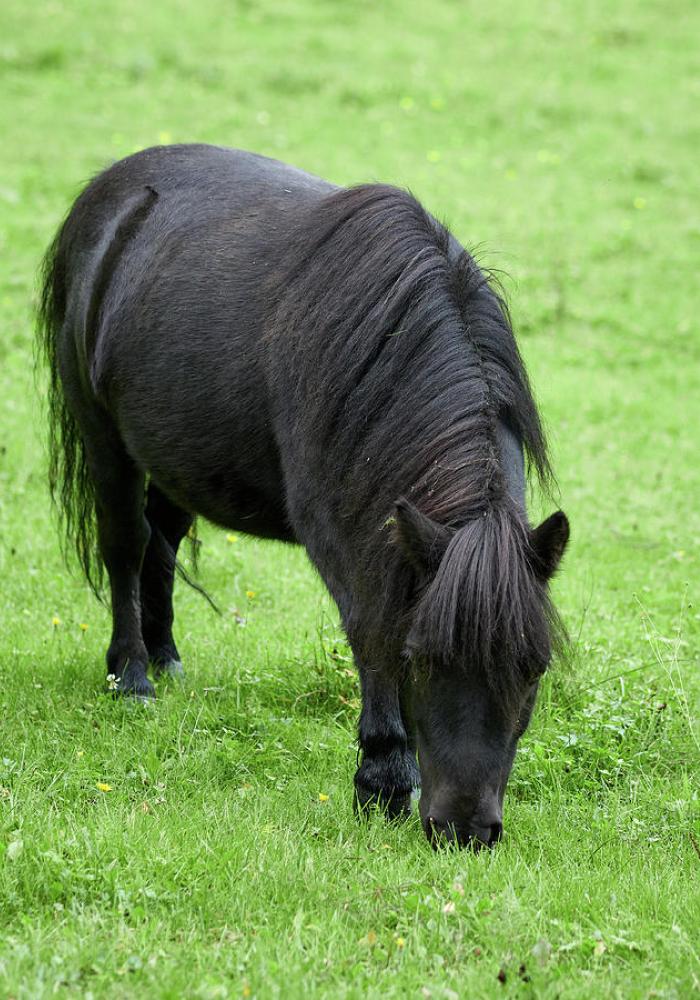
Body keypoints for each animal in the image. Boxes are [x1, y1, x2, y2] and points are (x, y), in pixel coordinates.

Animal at [37, 144, 569, 848]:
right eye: (421, 659)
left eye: (533, 668)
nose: (463, 830)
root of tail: (109, 190)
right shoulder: (346, 537)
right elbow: (370, 629)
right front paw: (382, 781)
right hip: (106, 440)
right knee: (125, 545)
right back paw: (132, 675)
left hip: (175, 455)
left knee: (160, 542)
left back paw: (167, 659)